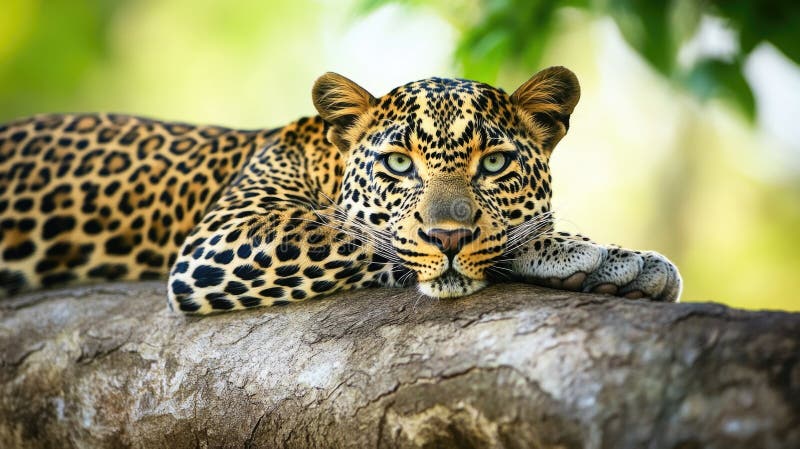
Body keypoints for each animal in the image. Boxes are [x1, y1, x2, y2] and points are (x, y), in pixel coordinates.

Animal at [0, 66, 682, 314]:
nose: (450, 236)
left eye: (493, 164)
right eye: (399, 164)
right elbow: (368, 233)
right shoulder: (221, 240)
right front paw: (585, 252)